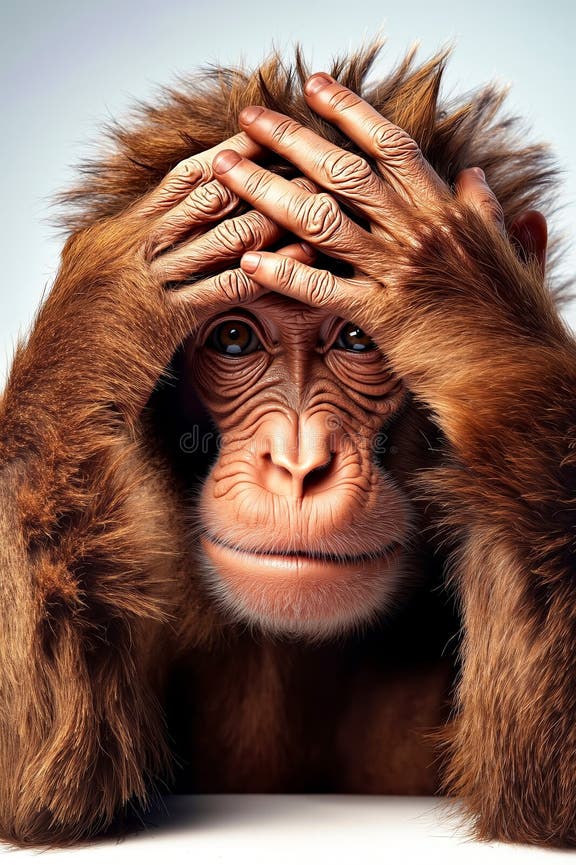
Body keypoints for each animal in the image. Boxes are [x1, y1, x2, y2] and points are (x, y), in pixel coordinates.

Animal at [1, 43, 575, 849]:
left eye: (359, 338)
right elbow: (44, 790)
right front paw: (105, 304)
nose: (299, 462)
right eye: (235, 338)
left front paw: (452, 287)